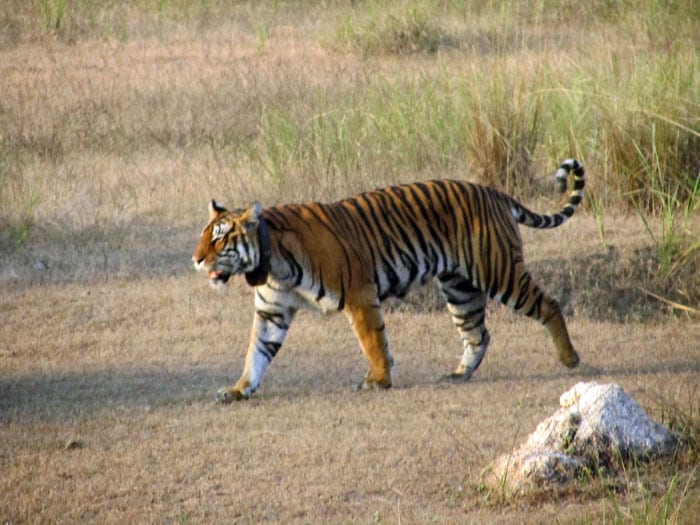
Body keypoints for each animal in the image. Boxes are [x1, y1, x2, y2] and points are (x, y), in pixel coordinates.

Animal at [192, 159, 585, 403]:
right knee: (478, 334)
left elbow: (373, 341)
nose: (195, 259)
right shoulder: (272, 312)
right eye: (203, 235)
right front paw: (239, 390)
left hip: (498, 272)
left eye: (219, 238)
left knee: (549, 304)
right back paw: (458, 374)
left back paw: (570, 359)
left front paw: (378, 380)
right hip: (460, 288)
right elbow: (256, 354)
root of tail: (494, 192)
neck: (271, 264)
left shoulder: (359, 295)